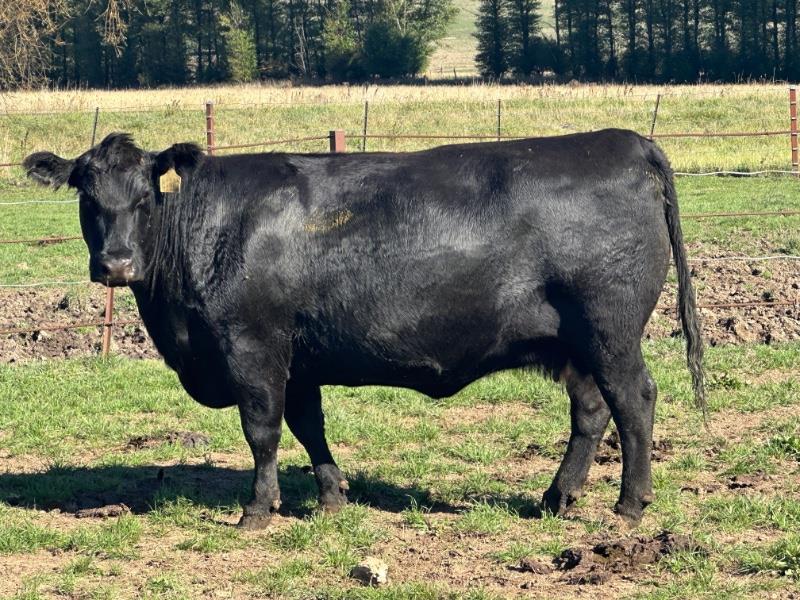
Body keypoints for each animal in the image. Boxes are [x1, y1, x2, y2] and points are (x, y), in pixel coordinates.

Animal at [23, 129, 705, 529]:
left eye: (144, 197)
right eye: (86, 196)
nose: (116, 265)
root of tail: (621, 140)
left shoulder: (253, 347)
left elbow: (262, 432)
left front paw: (257, 510)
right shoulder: (298, 357)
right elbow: (308, 427)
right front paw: (331, 498)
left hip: (611, 332)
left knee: (635, 401)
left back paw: (630, 504)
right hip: (576, 345)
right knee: (590, 410)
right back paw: (558, 498)